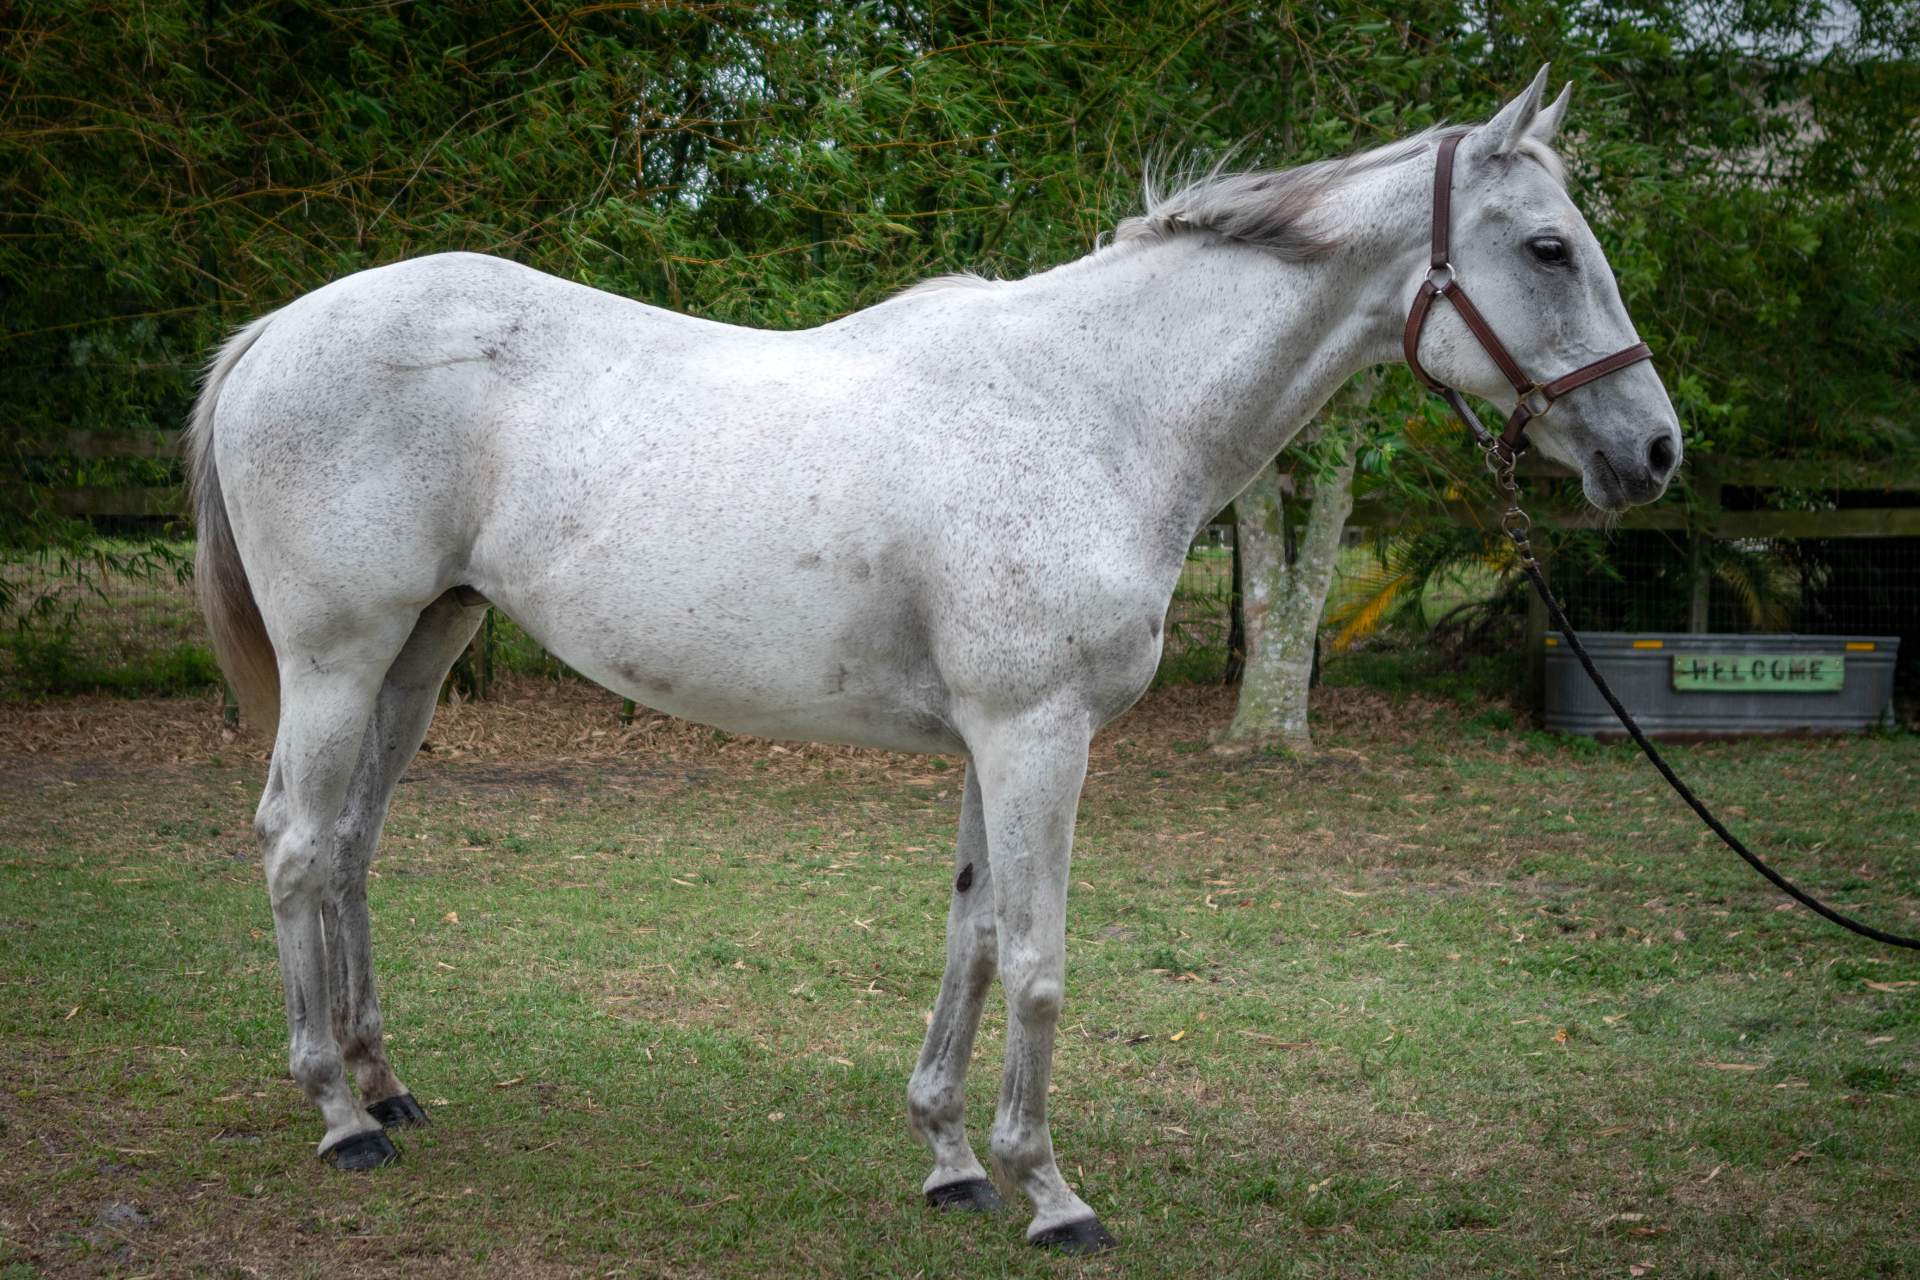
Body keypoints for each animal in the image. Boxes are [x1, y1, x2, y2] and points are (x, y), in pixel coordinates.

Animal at [188, 67, 1680, 1252]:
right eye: (1550, 248)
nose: (1654, 450)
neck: (1092, 406)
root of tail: (277, 330)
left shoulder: (996, 740)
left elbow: (970, 935)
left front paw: (954, 1160)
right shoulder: (1038, 735)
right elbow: (1038, 956)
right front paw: (1052, 1192)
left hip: (422, 648)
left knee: (356, 843)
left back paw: (386, 1085)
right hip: (338, 657)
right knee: (298, 842)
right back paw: (337, 1112)